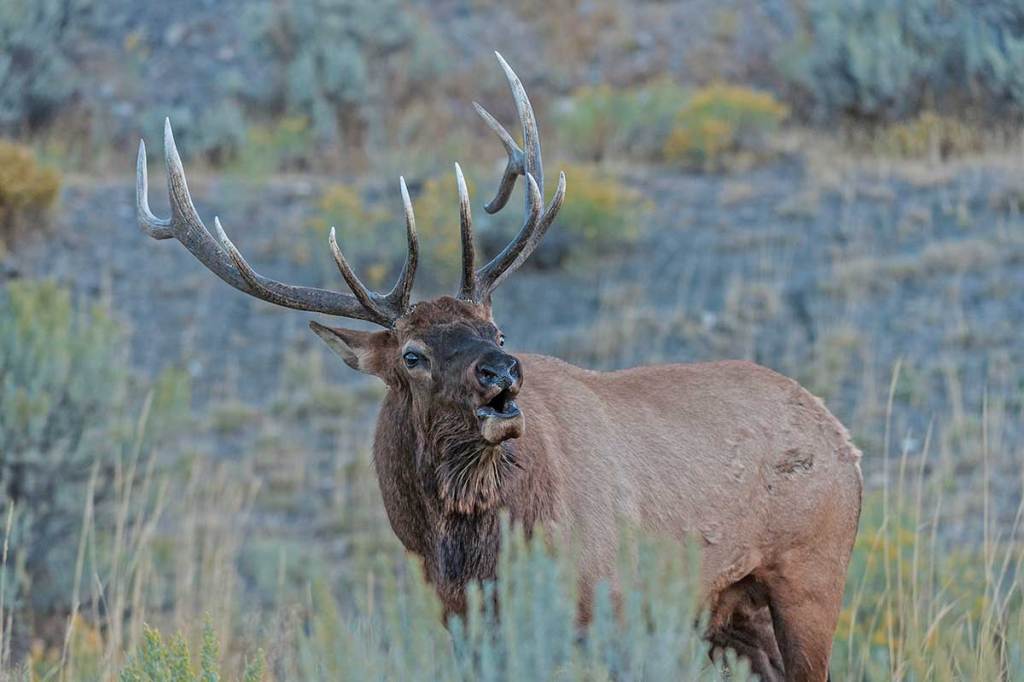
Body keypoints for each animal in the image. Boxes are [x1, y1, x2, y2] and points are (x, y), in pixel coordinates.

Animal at [136, 53, 862, 682]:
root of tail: (843, 439)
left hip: (811, 572)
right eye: (412, 355)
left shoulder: (606, 605)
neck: (469, 556)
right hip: (731, 611)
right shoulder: (464, 624)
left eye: (498, 328)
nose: (502, 374)